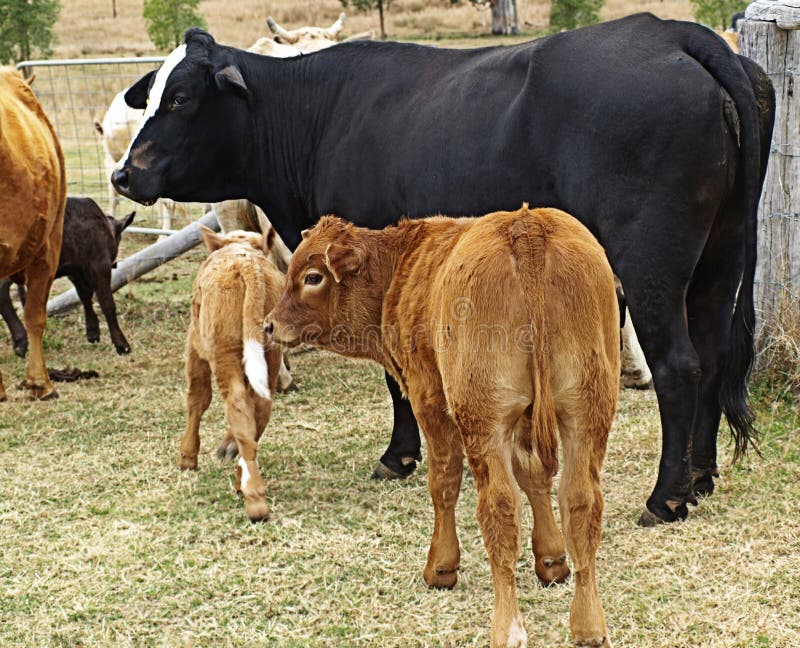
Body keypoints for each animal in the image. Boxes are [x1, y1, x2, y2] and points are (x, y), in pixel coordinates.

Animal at [0, 197, 135, 357]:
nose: (115, 264)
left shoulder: (76, 271)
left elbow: (84, 296)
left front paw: (93, 331)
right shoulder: (99, 264)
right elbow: (106, 302)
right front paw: (121, 344)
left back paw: (20, 342)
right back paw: (21, 340)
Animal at [179, 226, 285, 522]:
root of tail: (246, 264)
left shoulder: (194, 345)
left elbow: (197, 398)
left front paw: (187, 456)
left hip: (222, 352)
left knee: (237, 406)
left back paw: (254, 499)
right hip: (271, 354)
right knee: (260, 408)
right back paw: (244, 479)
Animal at [264, 206, 620, 647]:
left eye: (312, 277)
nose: (269, 325)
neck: (404, 266)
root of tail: (526, 227)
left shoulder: (428, 397)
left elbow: (444, 482)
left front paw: (441, 566)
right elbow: (534, 476)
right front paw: (552, 559)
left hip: (481, 418)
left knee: (499, 508)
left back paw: (507, 626)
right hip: (586, 413)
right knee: (580, 502)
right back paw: (589, 625)